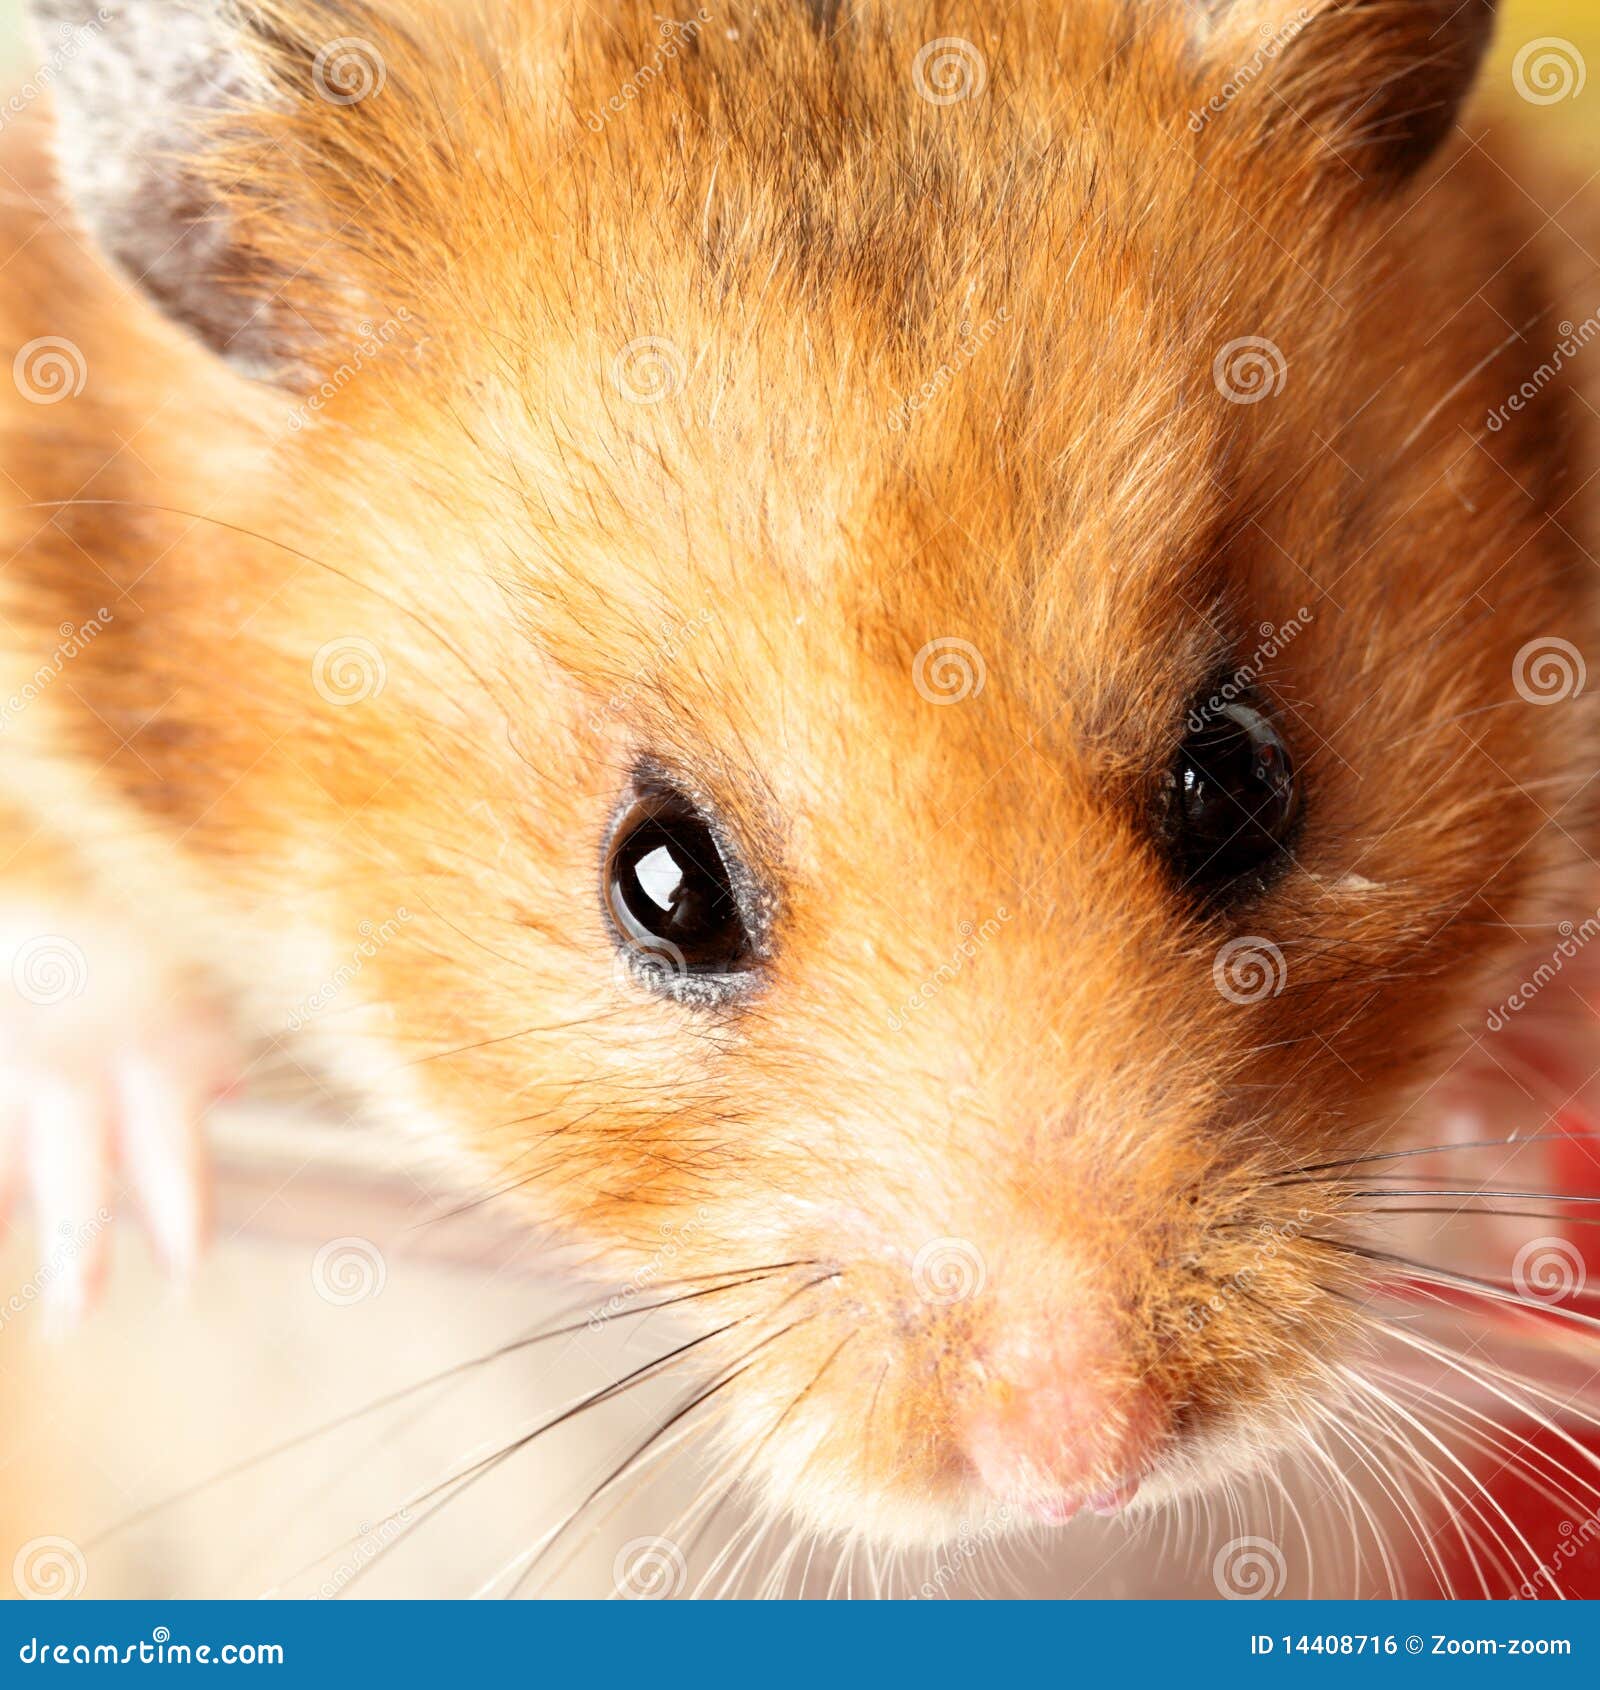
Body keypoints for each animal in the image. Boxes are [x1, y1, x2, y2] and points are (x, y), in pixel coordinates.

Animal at [1, 0, 1598, 1572]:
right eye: (660, 882)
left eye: (1243, 781)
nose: (1085, 1469)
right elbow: (65, 933)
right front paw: (133, 1209)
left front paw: (1513, 1128)